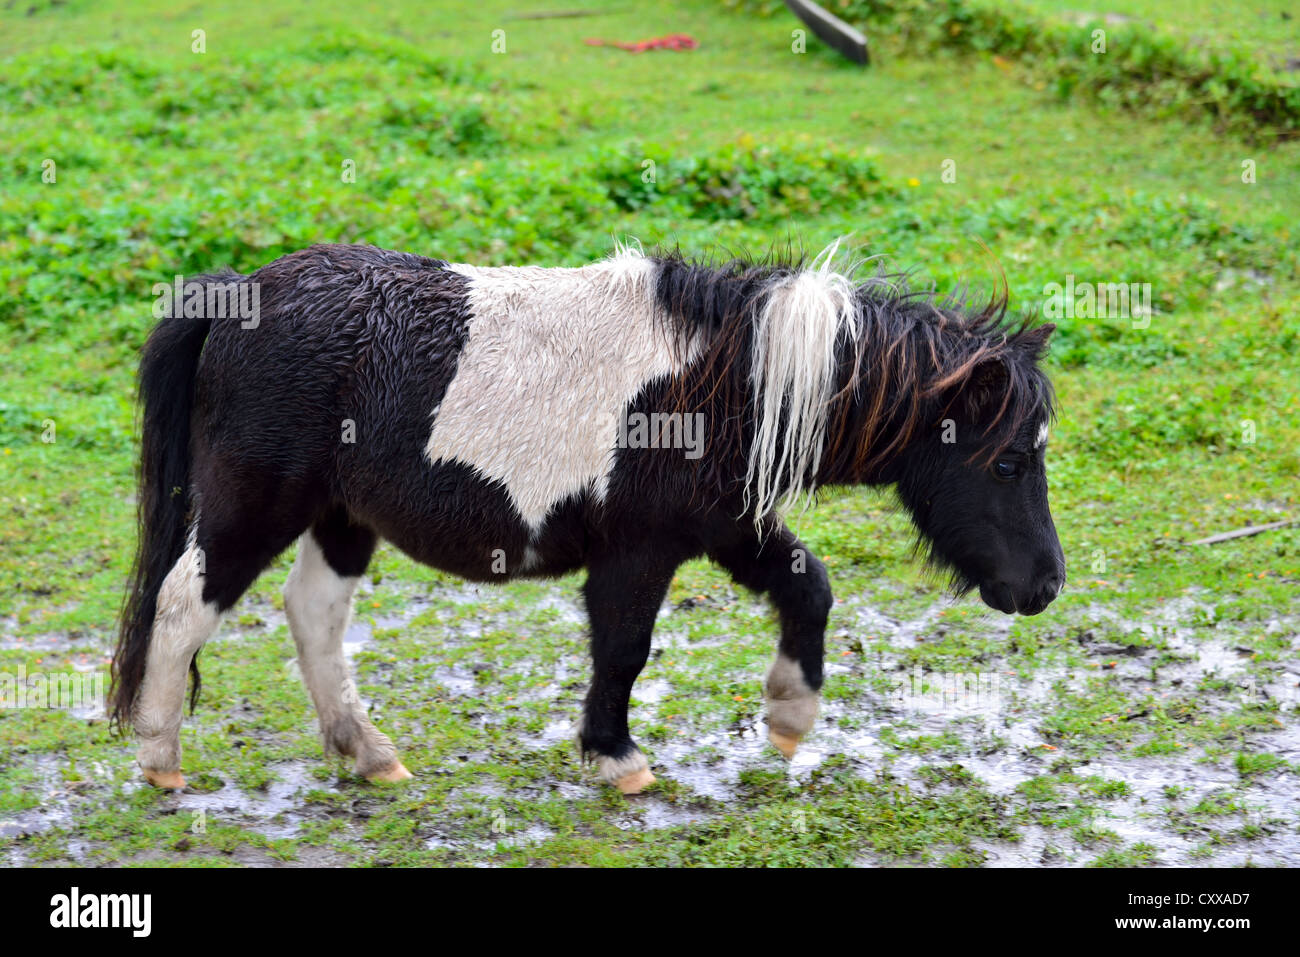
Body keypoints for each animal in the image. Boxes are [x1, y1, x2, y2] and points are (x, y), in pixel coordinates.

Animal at [110, 241, 1064, 795]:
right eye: (1009, 461)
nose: (1046, 585)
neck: (719, 383)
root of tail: (240, 291)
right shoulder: (638, 552)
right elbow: (625, 648)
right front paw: (615, 755)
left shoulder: (725, 528)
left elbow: (810, 587)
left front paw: (790, 717)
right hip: (254, 507)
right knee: (182, 604)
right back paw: (160, 761)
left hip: (342, 518)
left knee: (311, 615)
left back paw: (368, 752)